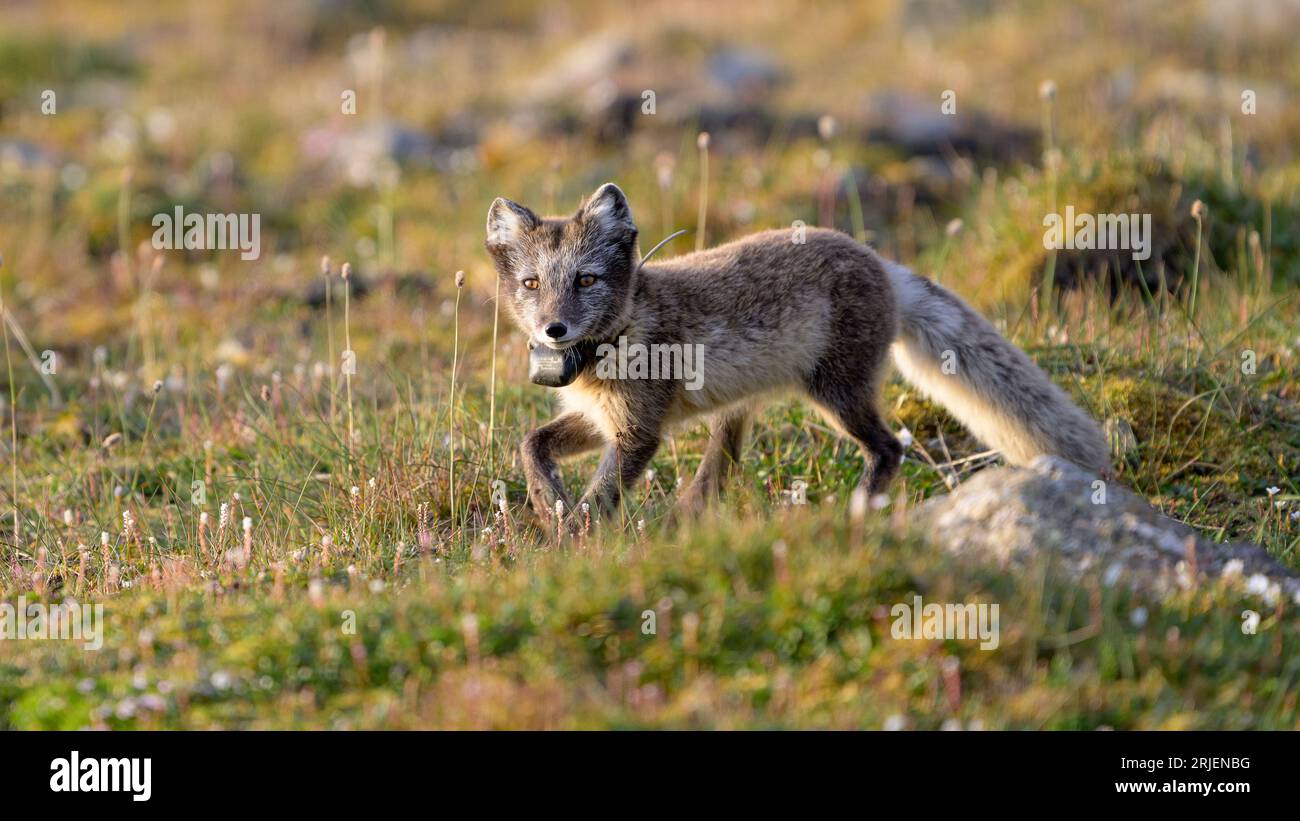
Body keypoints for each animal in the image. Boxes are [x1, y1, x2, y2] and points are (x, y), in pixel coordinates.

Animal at [485, 181, 1109, 523]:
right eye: (533, 284)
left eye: (586, 280)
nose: (554, 330)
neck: (615, 340)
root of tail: (882, 263)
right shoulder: (601, 418)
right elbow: (531, 443)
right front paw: (548, 505)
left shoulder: (640, 430)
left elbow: (599, 502)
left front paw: (571, 540)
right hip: (744, 412)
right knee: (716, 475)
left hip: (837, 392)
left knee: (889, 448)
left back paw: (856, 514)